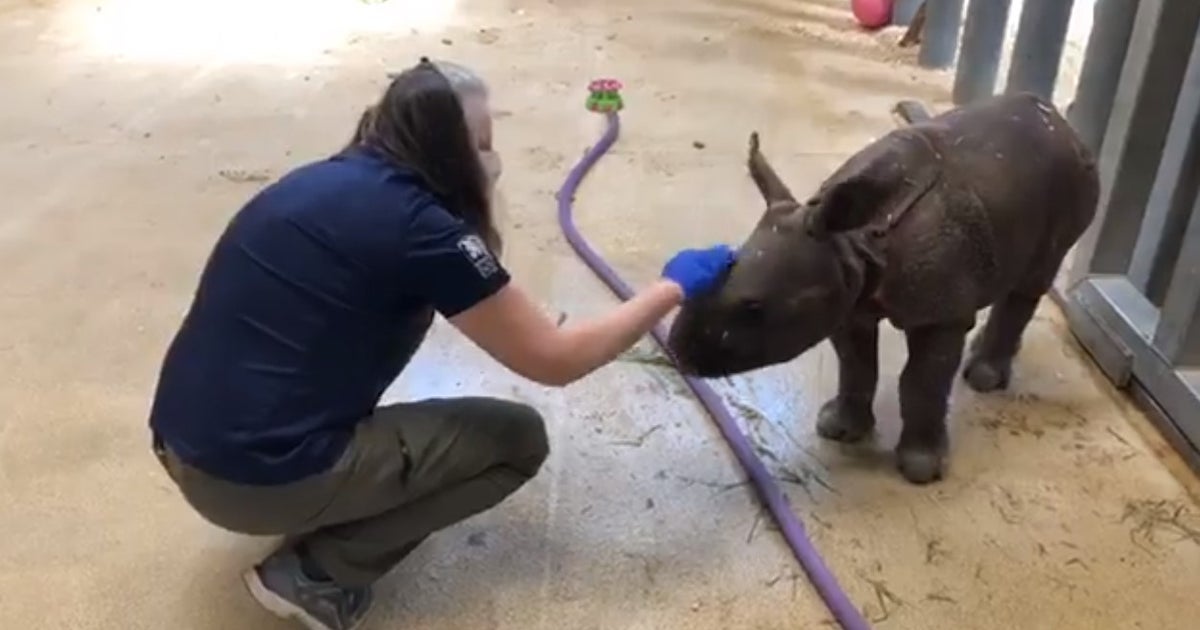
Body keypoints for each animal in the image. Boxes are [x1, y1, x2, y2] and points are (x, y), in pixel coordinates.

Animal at [666, 92, 1099, 484]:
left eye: (754, 308)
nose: (678, 351)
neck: (853, 242)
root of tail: (1062, 123)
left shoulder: (941, 314)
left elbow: (921, 382)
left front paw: (921, 470)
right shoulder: (846, 296)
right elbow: (856, 365)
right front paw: (839, 429)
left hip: (1073, 179)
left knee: (1034, 276)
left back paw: (983, 379)